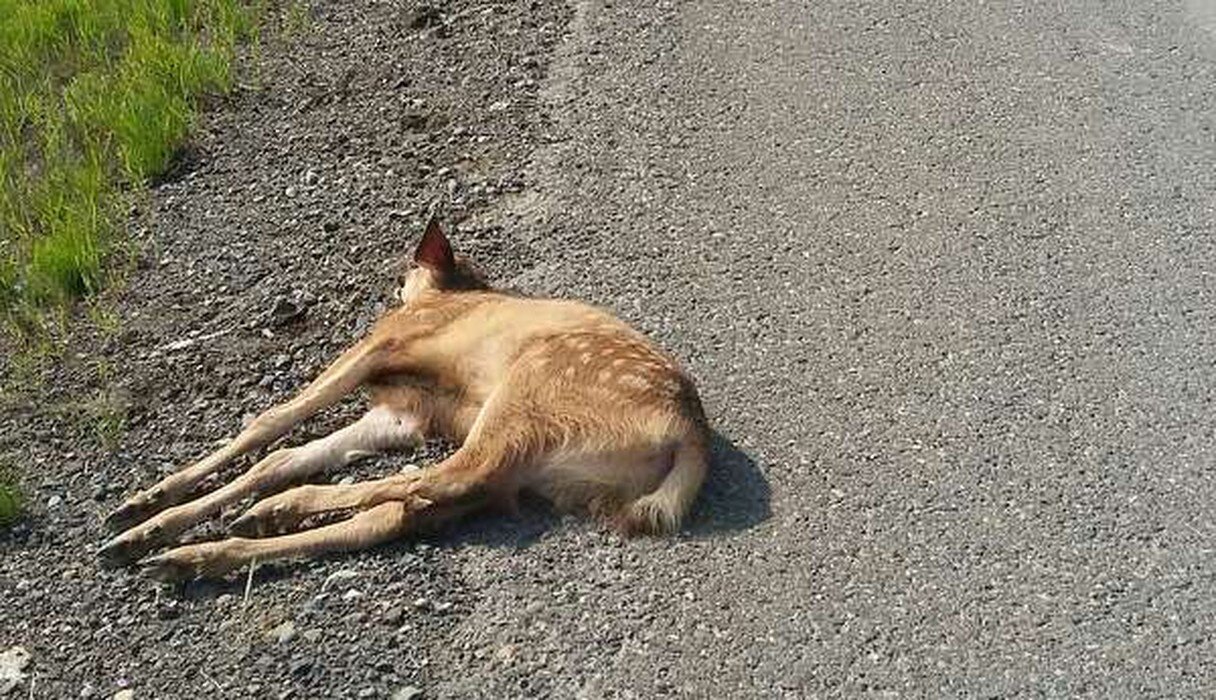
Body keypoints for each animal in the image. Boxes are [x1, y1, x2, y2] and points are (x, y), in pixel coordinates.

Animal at [98, 218, 710, 581]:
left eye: (404, 271)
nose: (395, 282)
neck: (446, 294)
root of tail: (690, 434)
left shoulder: (386, 341)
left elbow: (271, 423)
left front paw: (147, 505)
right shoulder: (406, 412)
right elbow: (284, 456)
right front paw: (146, 515)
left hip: (528, 392)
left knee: (437, 480)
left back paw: (259, 517)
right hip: (542, 470)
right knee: (405, 509)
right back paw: (191, 552)